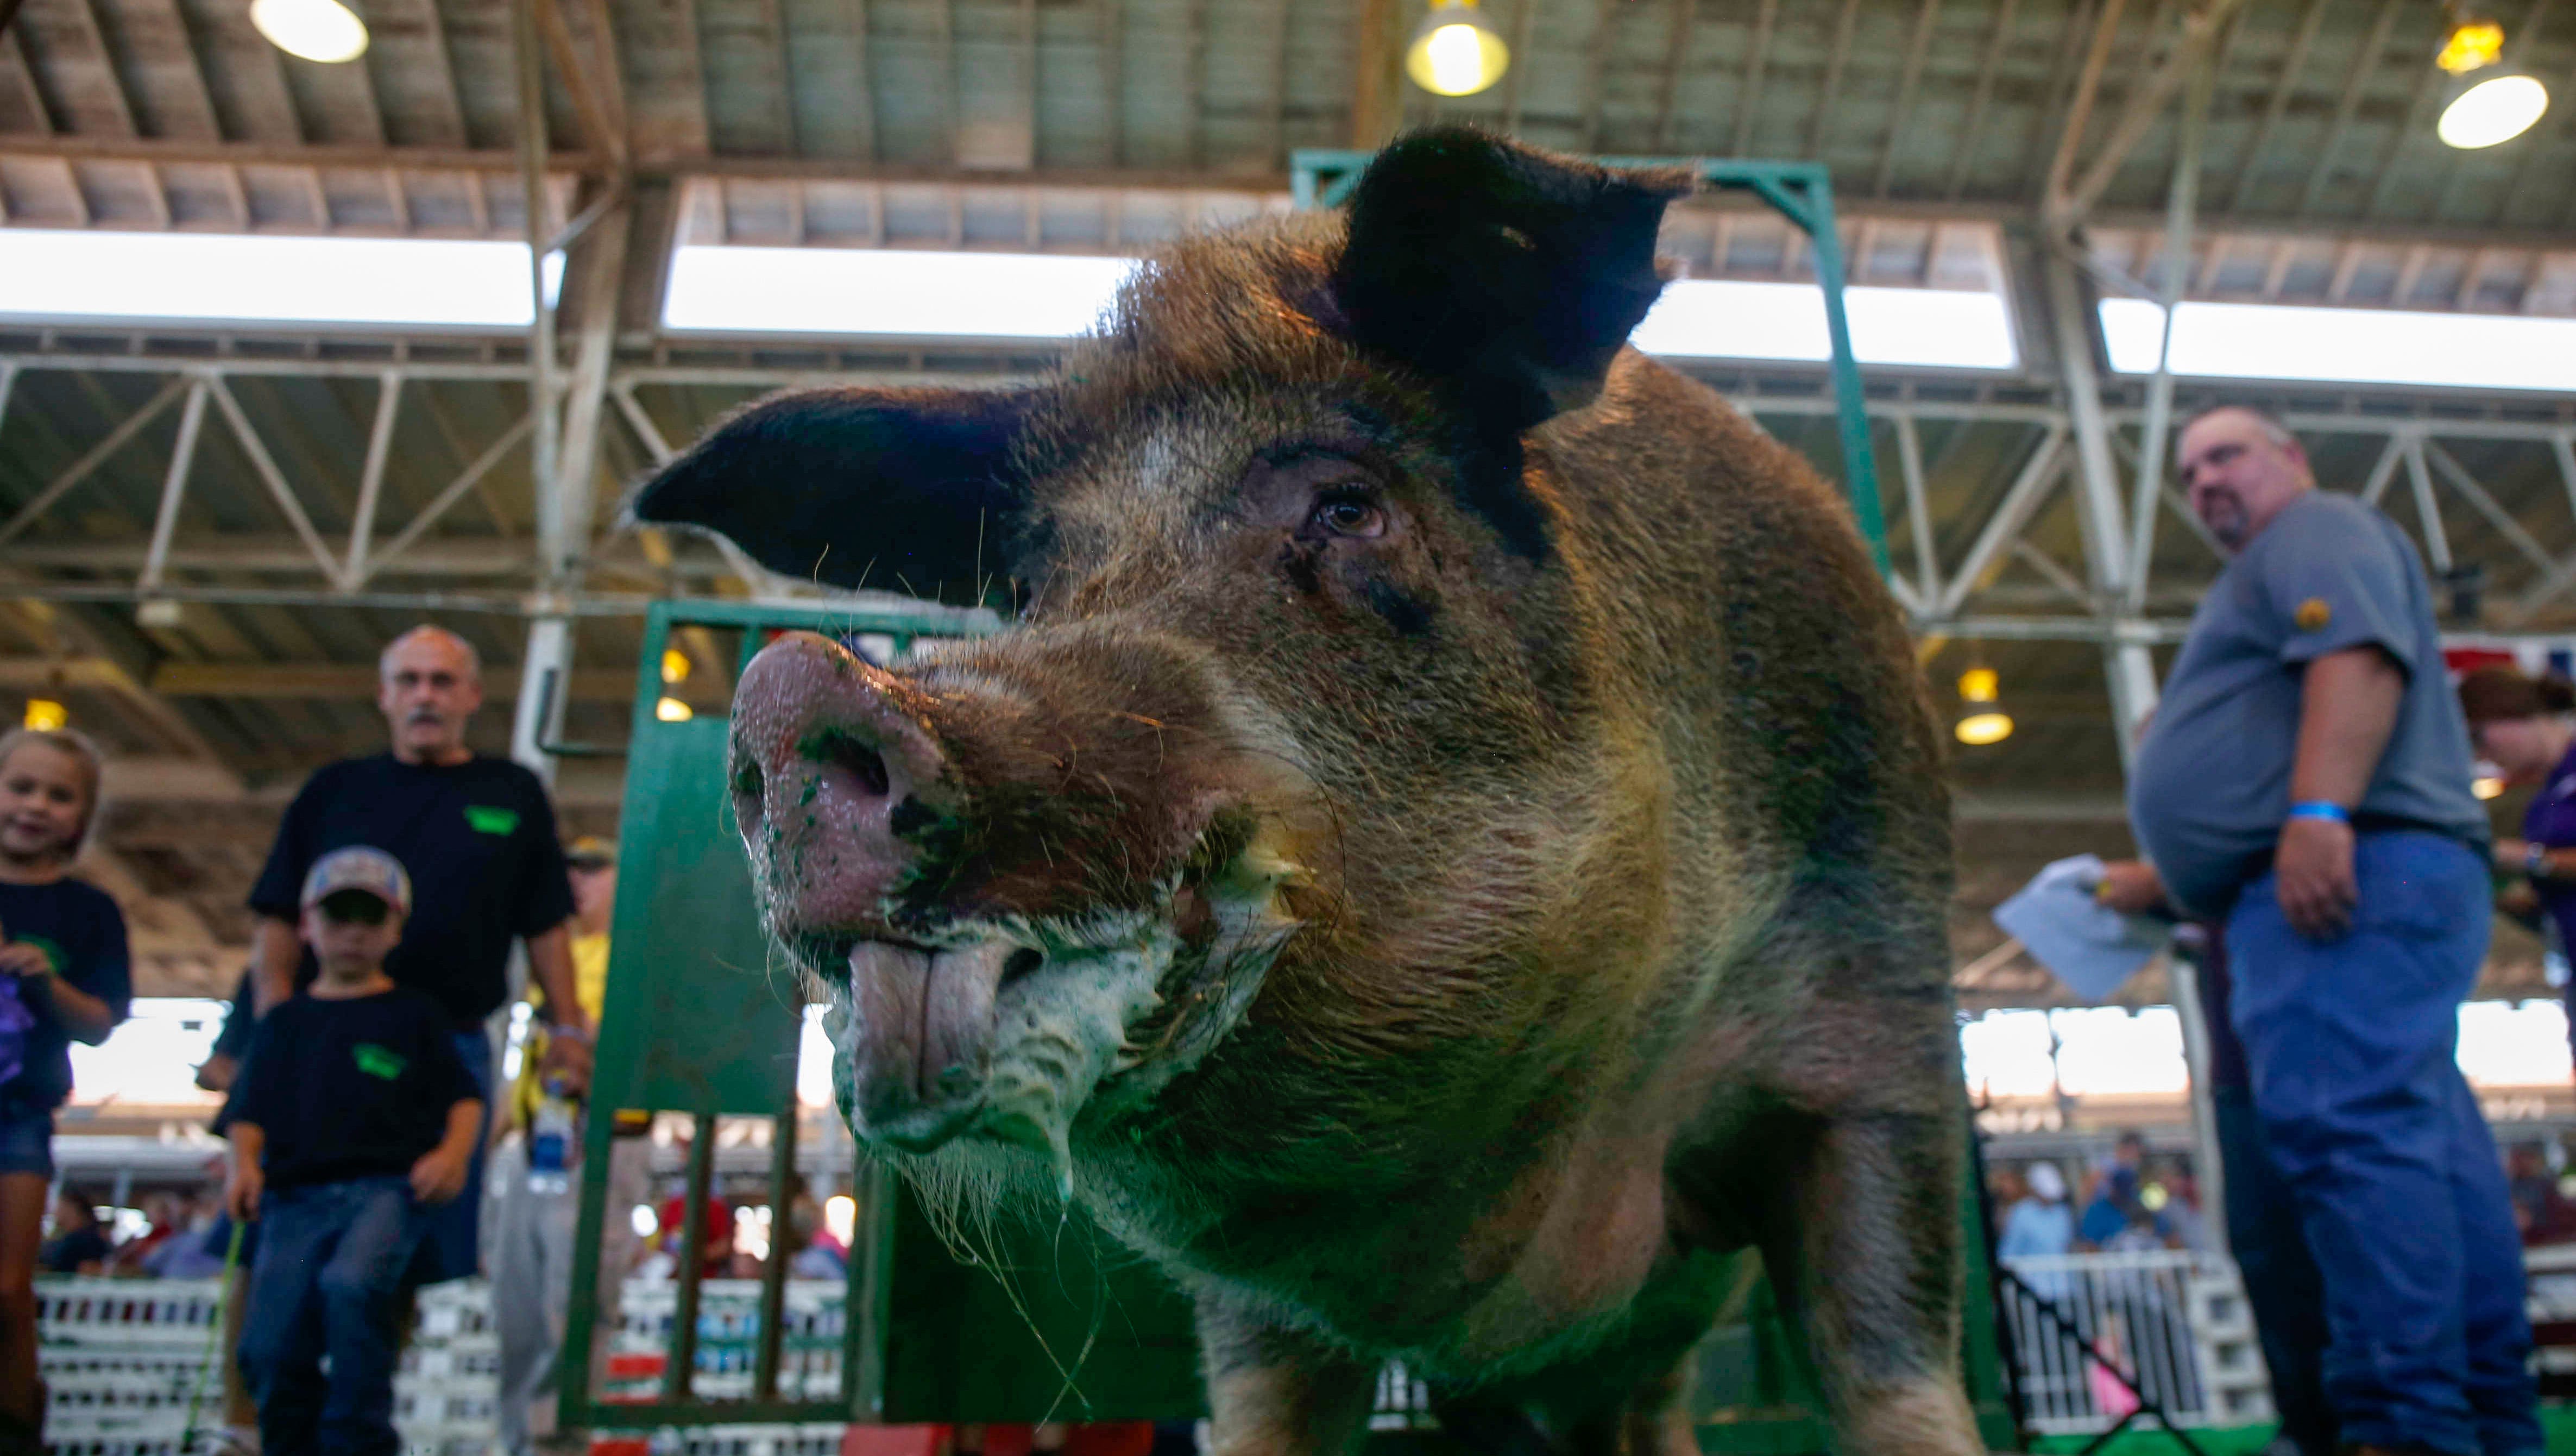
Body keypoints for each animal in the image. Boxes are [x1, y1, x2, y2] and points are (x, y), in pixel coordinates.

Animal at [631, 128, 1976, 1456]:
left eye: (1346, 505)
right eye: (1028, 583)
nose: (792, 686)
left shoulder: (1884, 1044)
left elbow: (1892, 1374)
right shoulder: (1262, 1309)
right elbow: (1263, 1415)